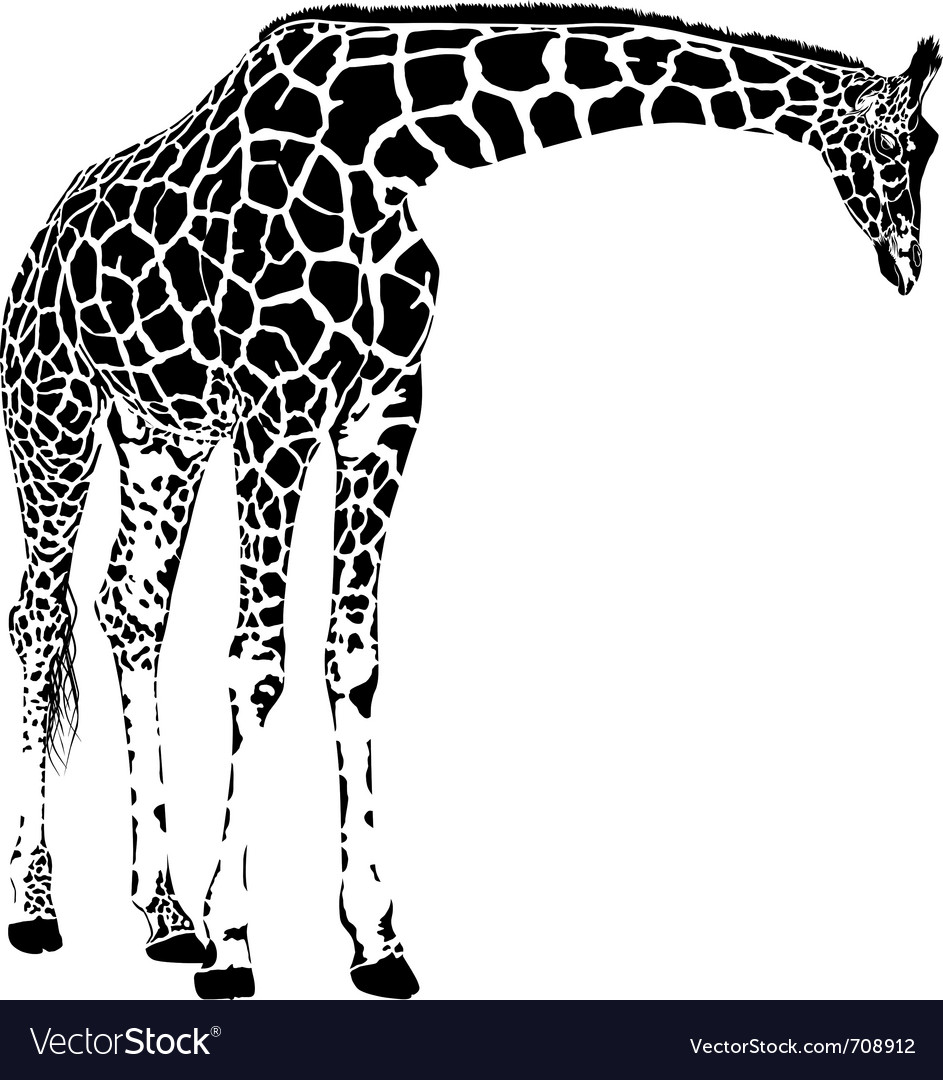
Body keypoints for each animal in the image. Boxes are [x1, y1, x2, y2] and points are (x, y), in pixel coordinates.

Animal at [2, 5, 939, 1000]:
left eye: (927, 146)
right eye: (898, 146)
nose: (907, 264)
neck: (388, 148)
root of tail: (35, 246)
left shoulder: (382, 413)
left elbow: (353, 661)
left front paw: (375, 942)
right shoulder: (279, 409)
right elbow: (256, 666)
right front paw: (236, 942)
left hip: (161, 435)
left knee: (129, 609)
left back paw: (163, 915)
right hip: (54, 418)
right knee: (40, 618)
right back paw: (40, 908)